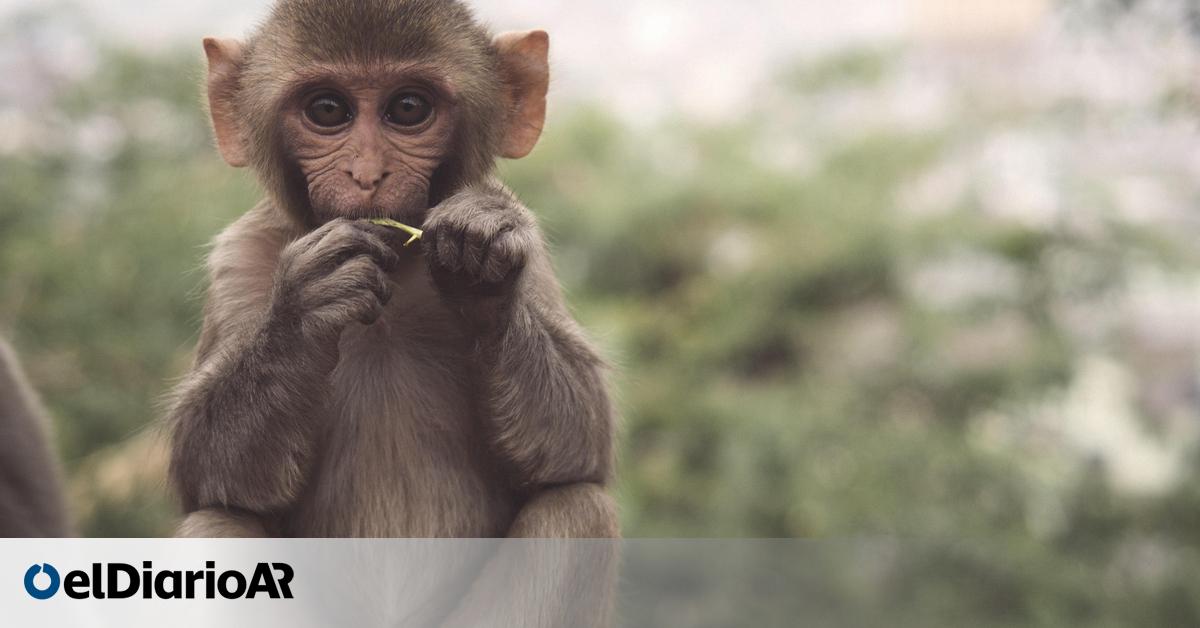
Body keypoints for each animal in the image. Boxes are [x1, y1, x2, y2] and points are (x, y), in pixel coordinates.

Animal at [167, 0, 617, 545]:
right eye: (327, 110)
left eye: (408, 108)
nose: (366, 175)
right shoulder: (239, 256)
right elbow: (205, 469)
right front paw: (305, 309)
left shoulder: (534, 254)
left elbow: (581, 444)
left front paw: (482, 274)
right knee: (217, 521)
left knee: (577, 503)